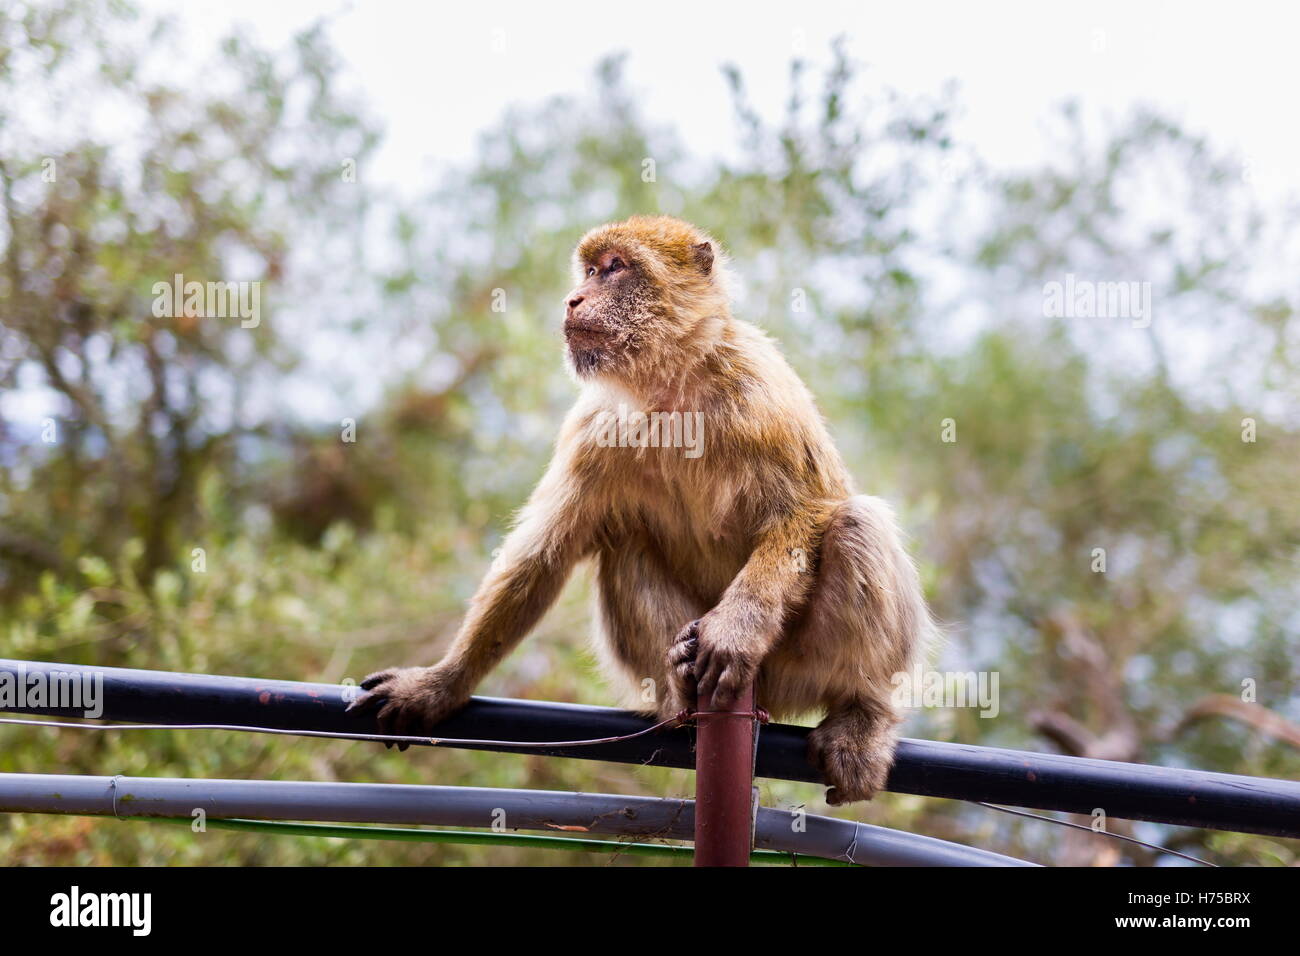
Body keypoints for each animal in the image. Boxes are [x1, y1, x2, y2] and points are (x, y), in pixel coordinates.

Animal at [349, 215, 936, 804]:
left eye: (615, 268)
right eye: (589, 270)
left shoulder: (762, 391)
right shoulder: (593, 427)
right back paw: (678, 690)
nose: (574, 298)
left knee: (856, 524)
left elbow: (806, 514)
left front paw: (736, 628)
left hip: (797, 670)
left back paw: (864, 711)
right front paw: (440, 683)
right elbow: (541, 557)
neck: (671, 388)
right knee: (625, 544)